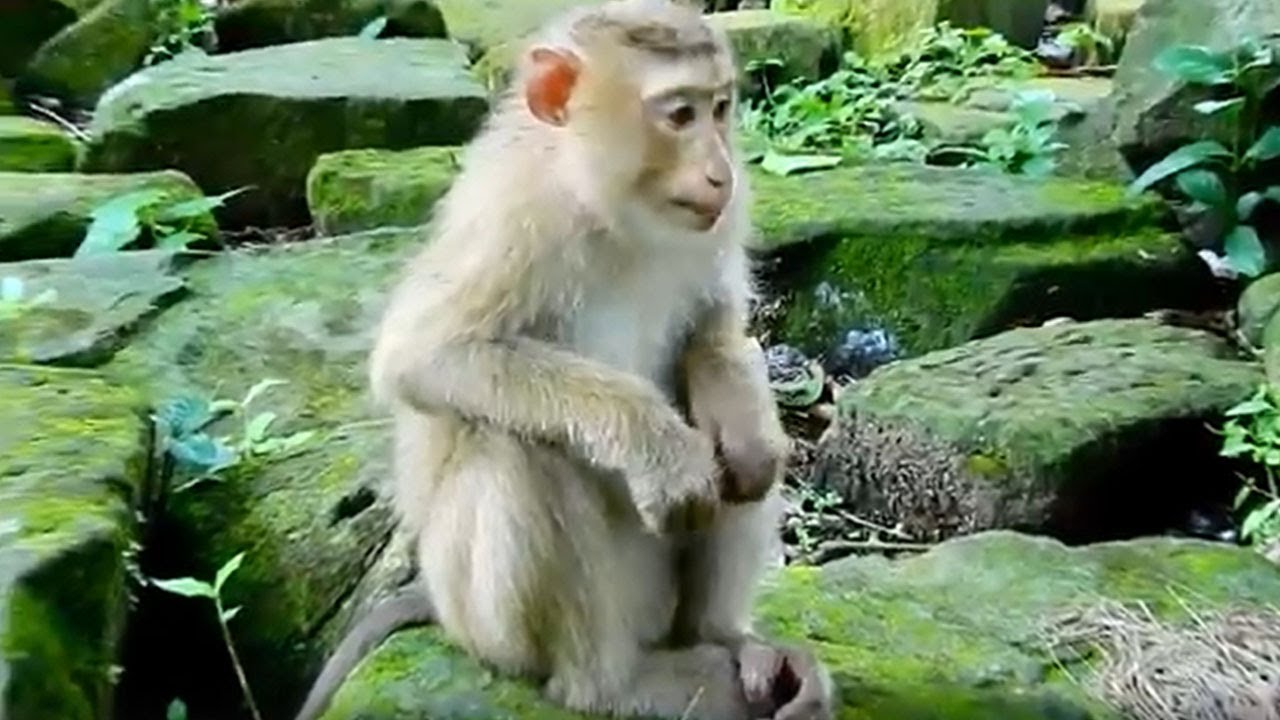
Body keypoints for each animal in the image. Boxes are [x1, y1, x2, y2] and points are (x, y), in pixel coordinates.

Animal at [294, 1, 835, 719]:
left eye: (720, 108)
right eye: (679, 115)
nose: (722, 170)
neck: (613, 210)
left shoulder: (724, 218)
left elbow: (716, 336)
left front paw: (743, 434)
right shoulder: (515, 219)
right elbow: (425, 354)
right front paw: (657, 445)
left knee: (739, 457)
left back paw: (730, 642)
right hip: (485, 620)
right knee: (523, 444)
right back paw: (611, 685)